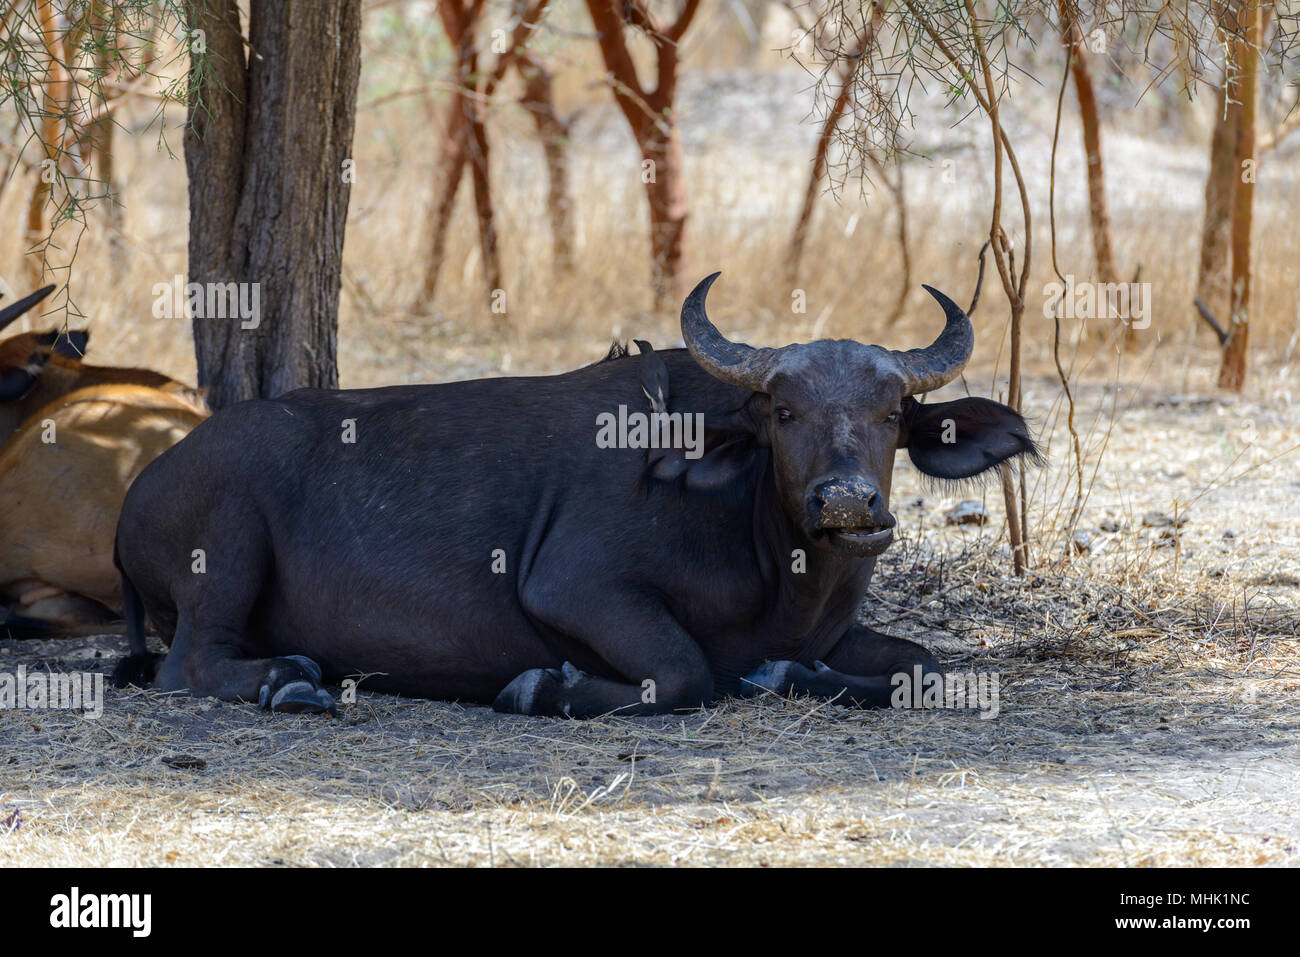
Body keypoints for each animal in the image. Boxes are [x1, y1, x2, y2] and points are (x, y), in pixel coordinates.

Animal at [111, 273, 1038, 718]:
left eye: (892, 413)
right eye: (783, 411)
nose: (846, 503)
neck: (781, 568)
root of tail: (142, 488)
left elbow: (925, 666)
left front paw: (787, 673)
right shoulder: (576, 586)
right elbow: (685, 672)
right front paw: (540, 688)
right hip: (228, 545)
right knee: (190, 665)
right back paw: (290, 683)